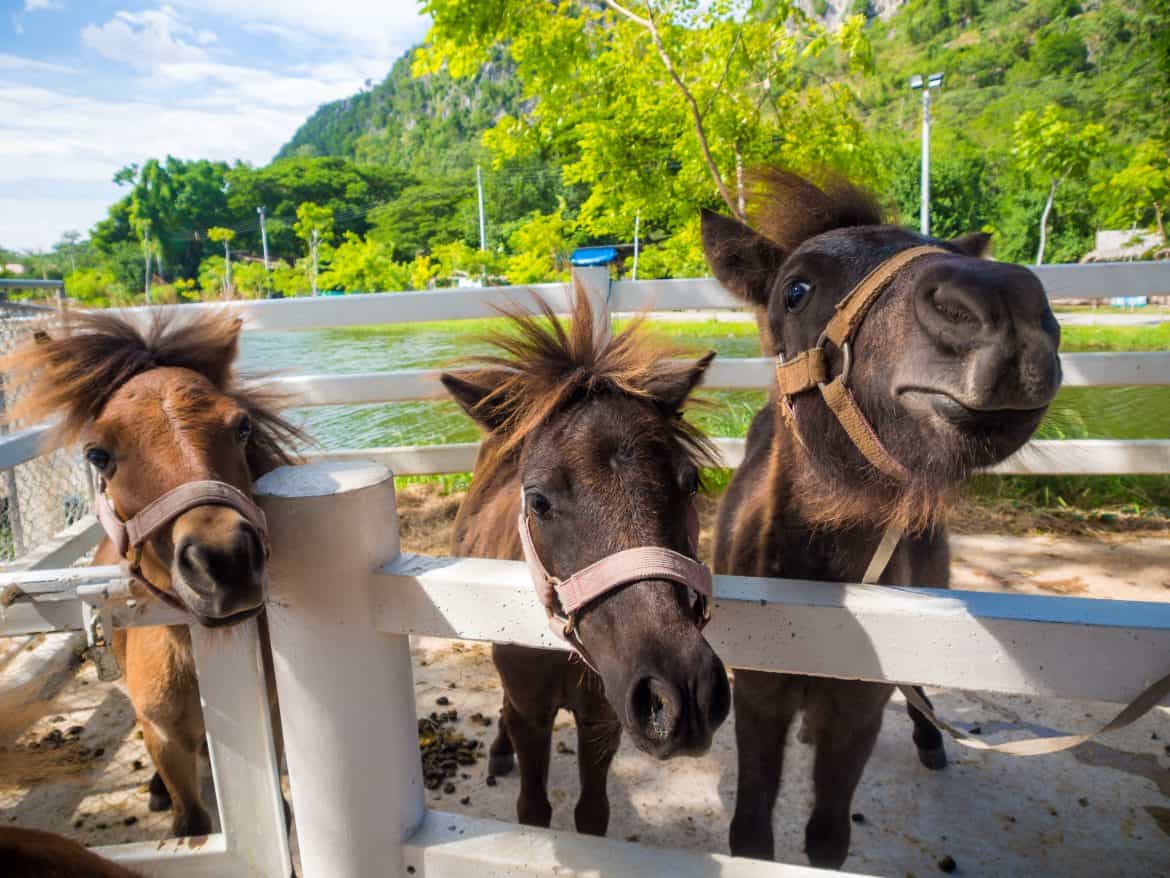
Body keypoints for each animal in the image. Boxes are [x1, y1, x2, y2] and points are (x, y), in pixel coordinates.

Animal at [439, 289, 732, 836]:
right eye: (537, 500)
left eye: (691, 483)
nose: (682, 694)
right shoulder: (532, 712)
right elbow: (533, 812)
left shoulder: (603, 716)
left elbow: (592, 816)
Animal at [701, 169, 1061, 868]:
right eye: (795, 290)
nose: (1003, 302)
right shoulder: (757, 698)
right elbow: (750, 834)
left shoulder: (860, 709)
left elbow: (828, 838)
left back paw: (931, 741)